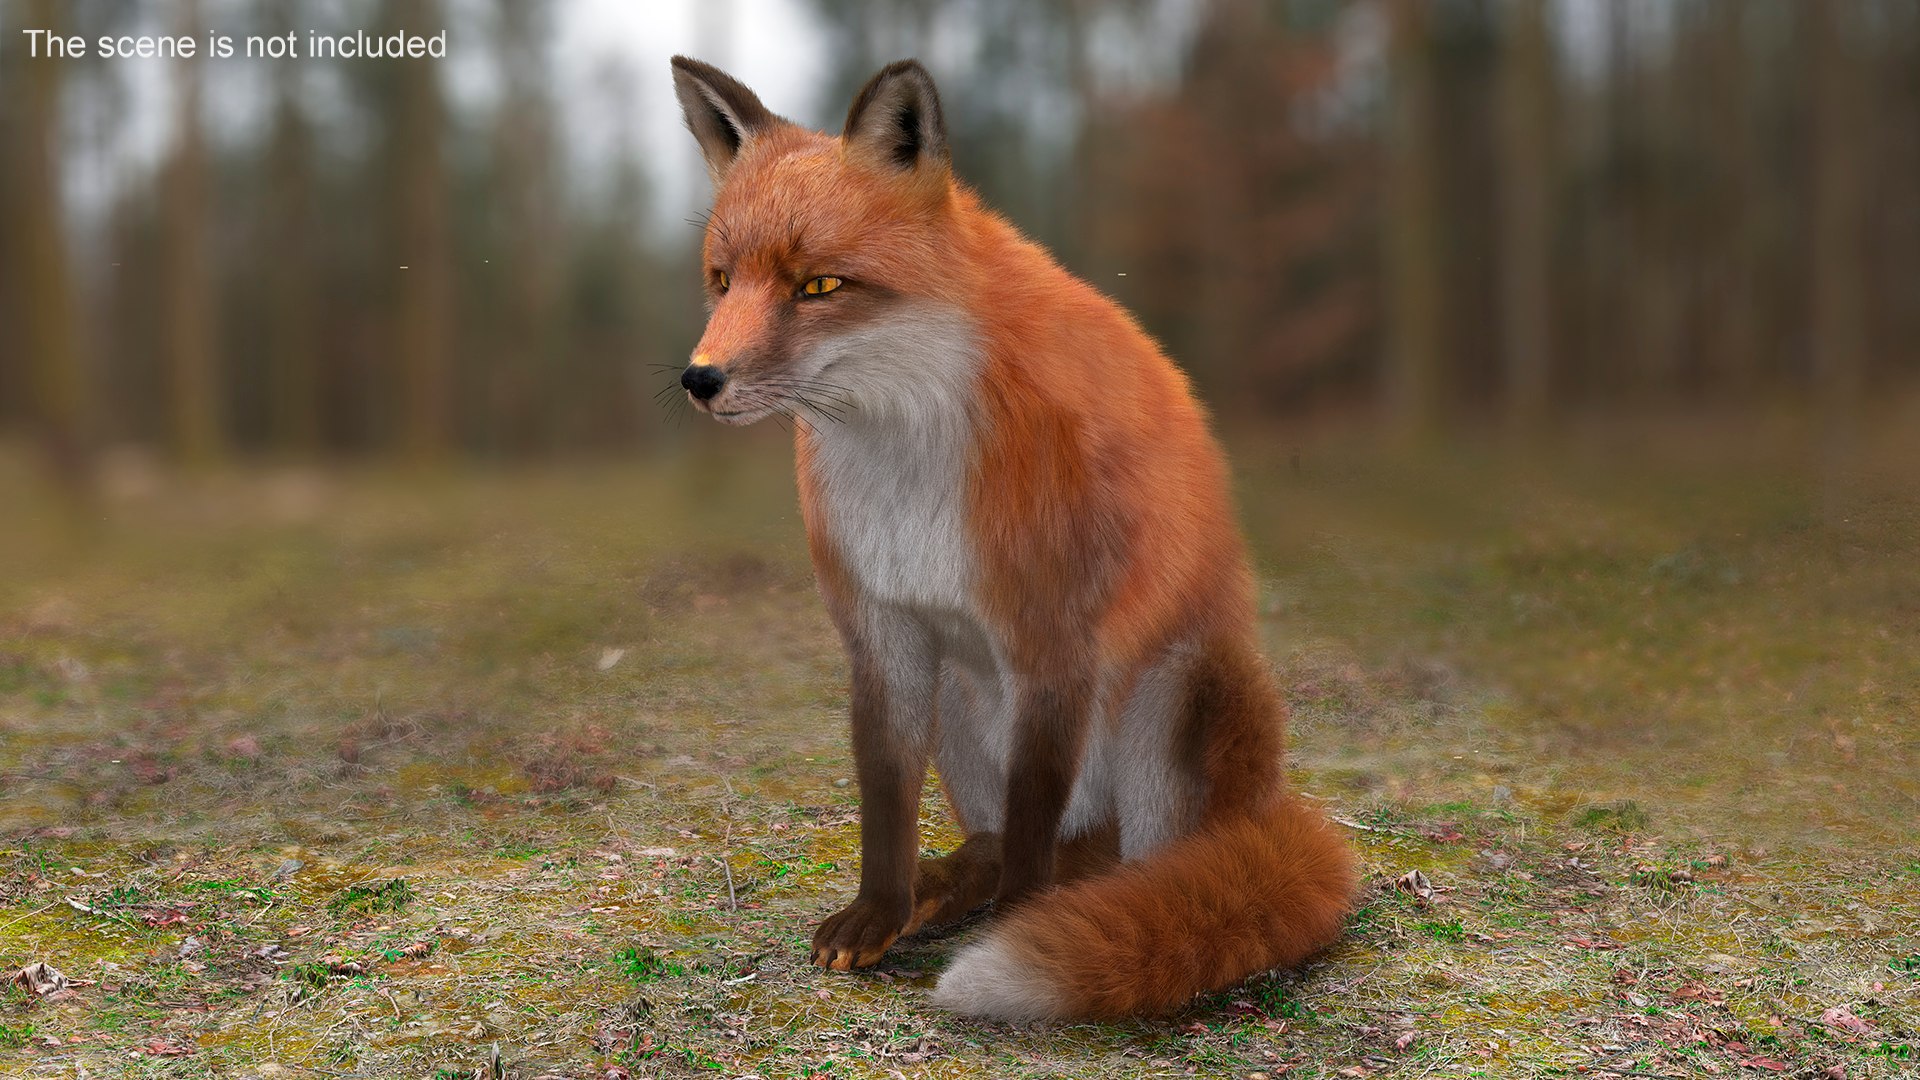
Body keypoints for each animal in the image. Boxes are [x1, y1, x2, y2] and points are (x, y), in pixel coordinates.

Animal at [668, 55, 1356, 1020]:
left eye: (819, 287)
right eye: (724, 280)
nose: (701, 380)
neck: (909, 456)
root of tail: (1270, 808)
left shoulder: (1052, 642)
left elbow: (1034, 817)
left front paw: (1025, 924)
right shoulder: (884, 634)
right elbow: (887, 804)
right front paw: (881, 912)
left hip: (1180, 692)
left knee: (1127, 863)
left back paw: (1069, 901)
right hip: (964, 689)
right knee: (1003, 842)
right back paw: (949, 889)